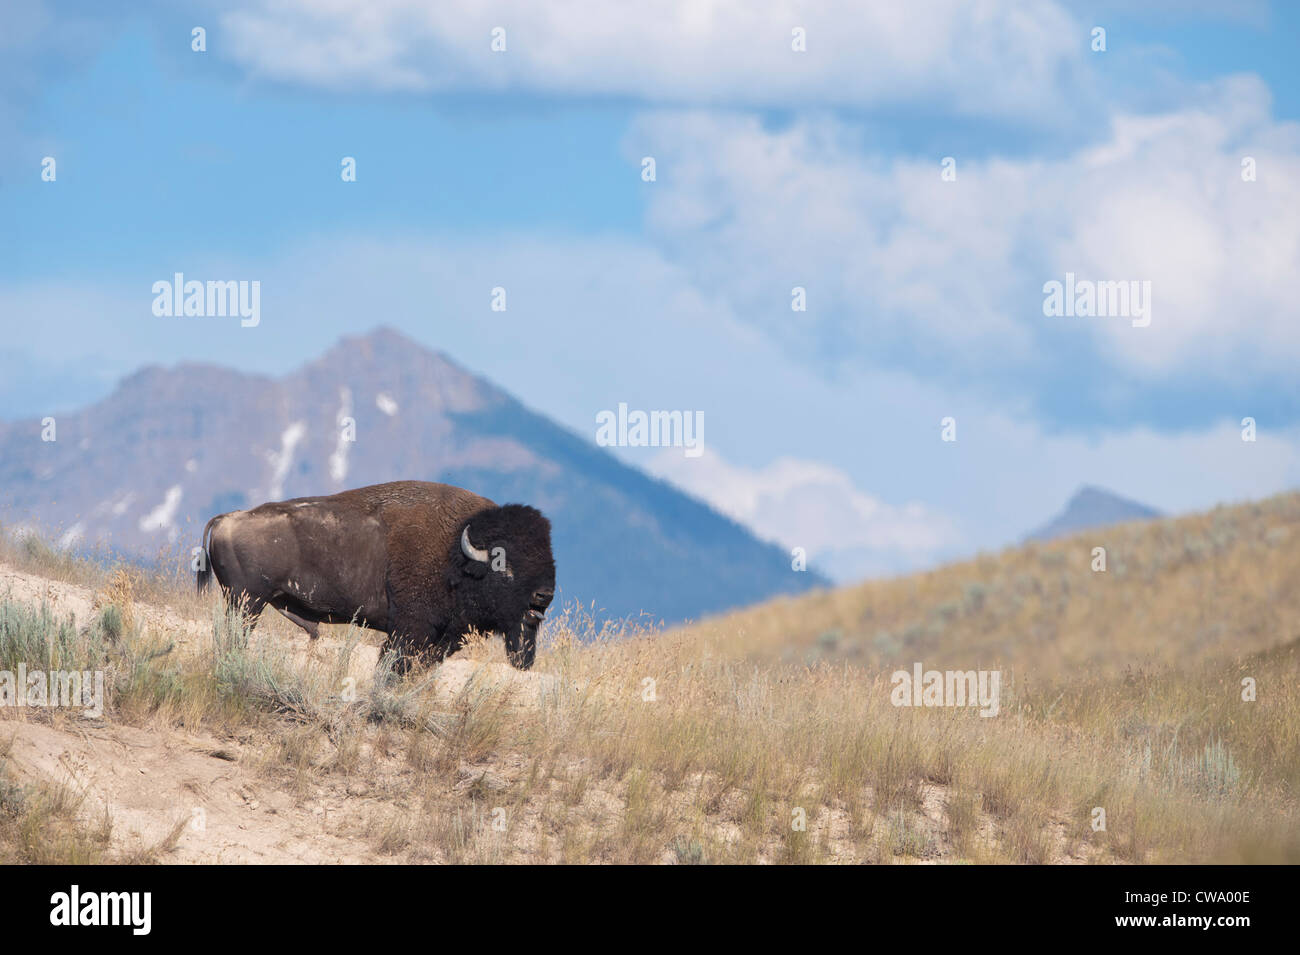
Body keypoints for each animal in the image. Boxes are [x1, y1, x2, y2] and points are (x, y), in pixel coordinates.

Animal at [196, 480, 556, 671]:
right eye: (504, 566)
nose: (544, 595)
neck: (457, 552)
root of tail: (228, 518)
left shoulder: (442, 640)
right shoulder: (409, 631)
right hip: (247, 602)